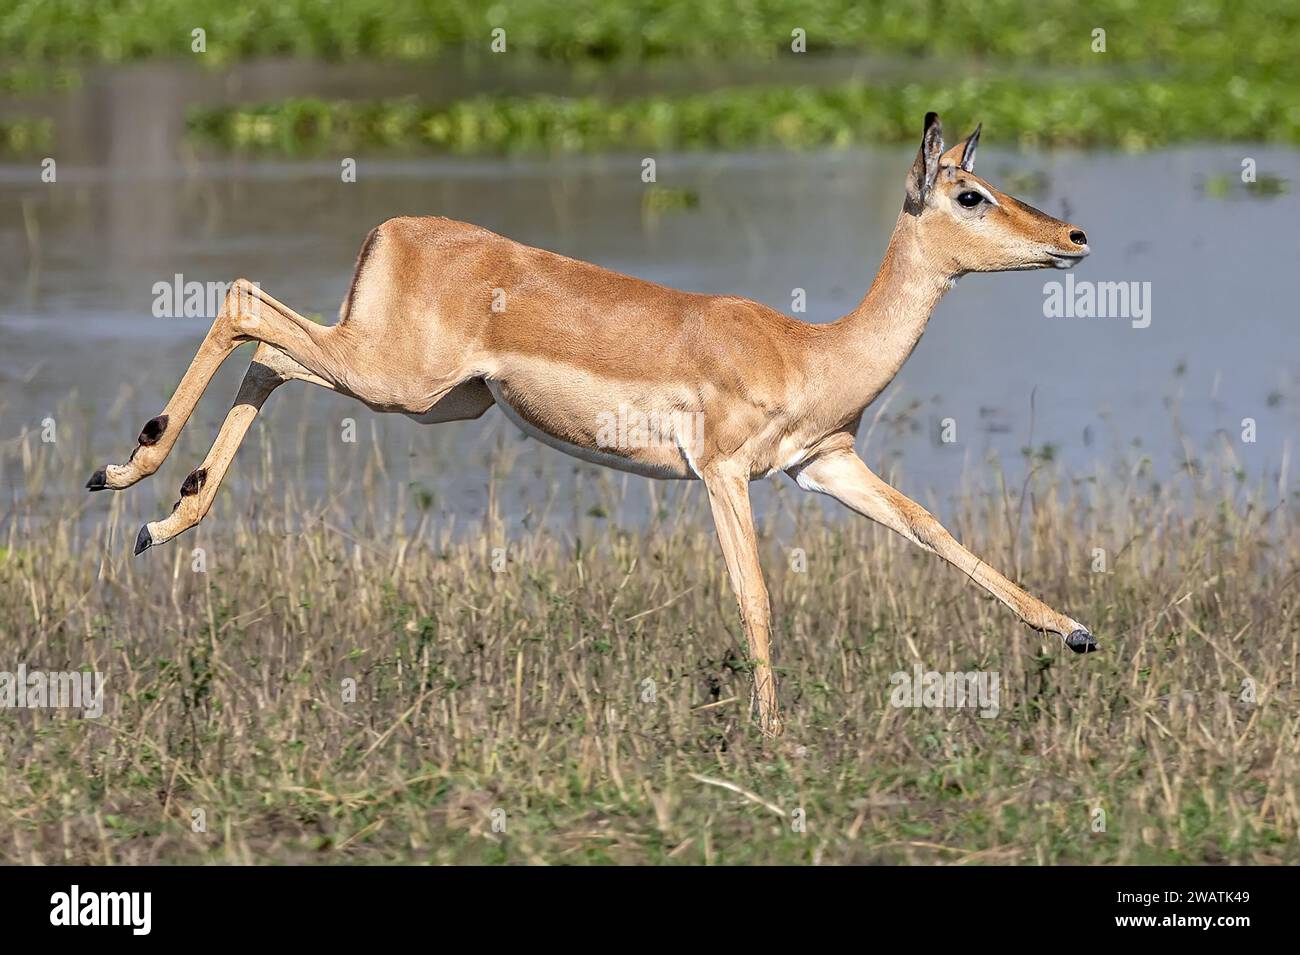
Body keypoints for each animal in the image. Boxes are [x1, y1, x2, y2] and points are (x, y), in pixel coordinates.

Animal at [86, 112, 1098, 736]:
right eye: (969, 194)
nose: (1074, 237)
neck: (810, 350)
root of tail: (390, 229)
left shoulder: (824, 463)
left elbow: (930, 526)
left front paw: (1075, 630)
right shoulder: (723, 472)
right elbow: (756, 596)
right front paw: (775, 737)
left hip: (428, 394)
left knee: (270, 350)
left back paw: (160, 512)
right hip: (392, 380)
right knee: (243, 302)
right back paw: (127, 477)